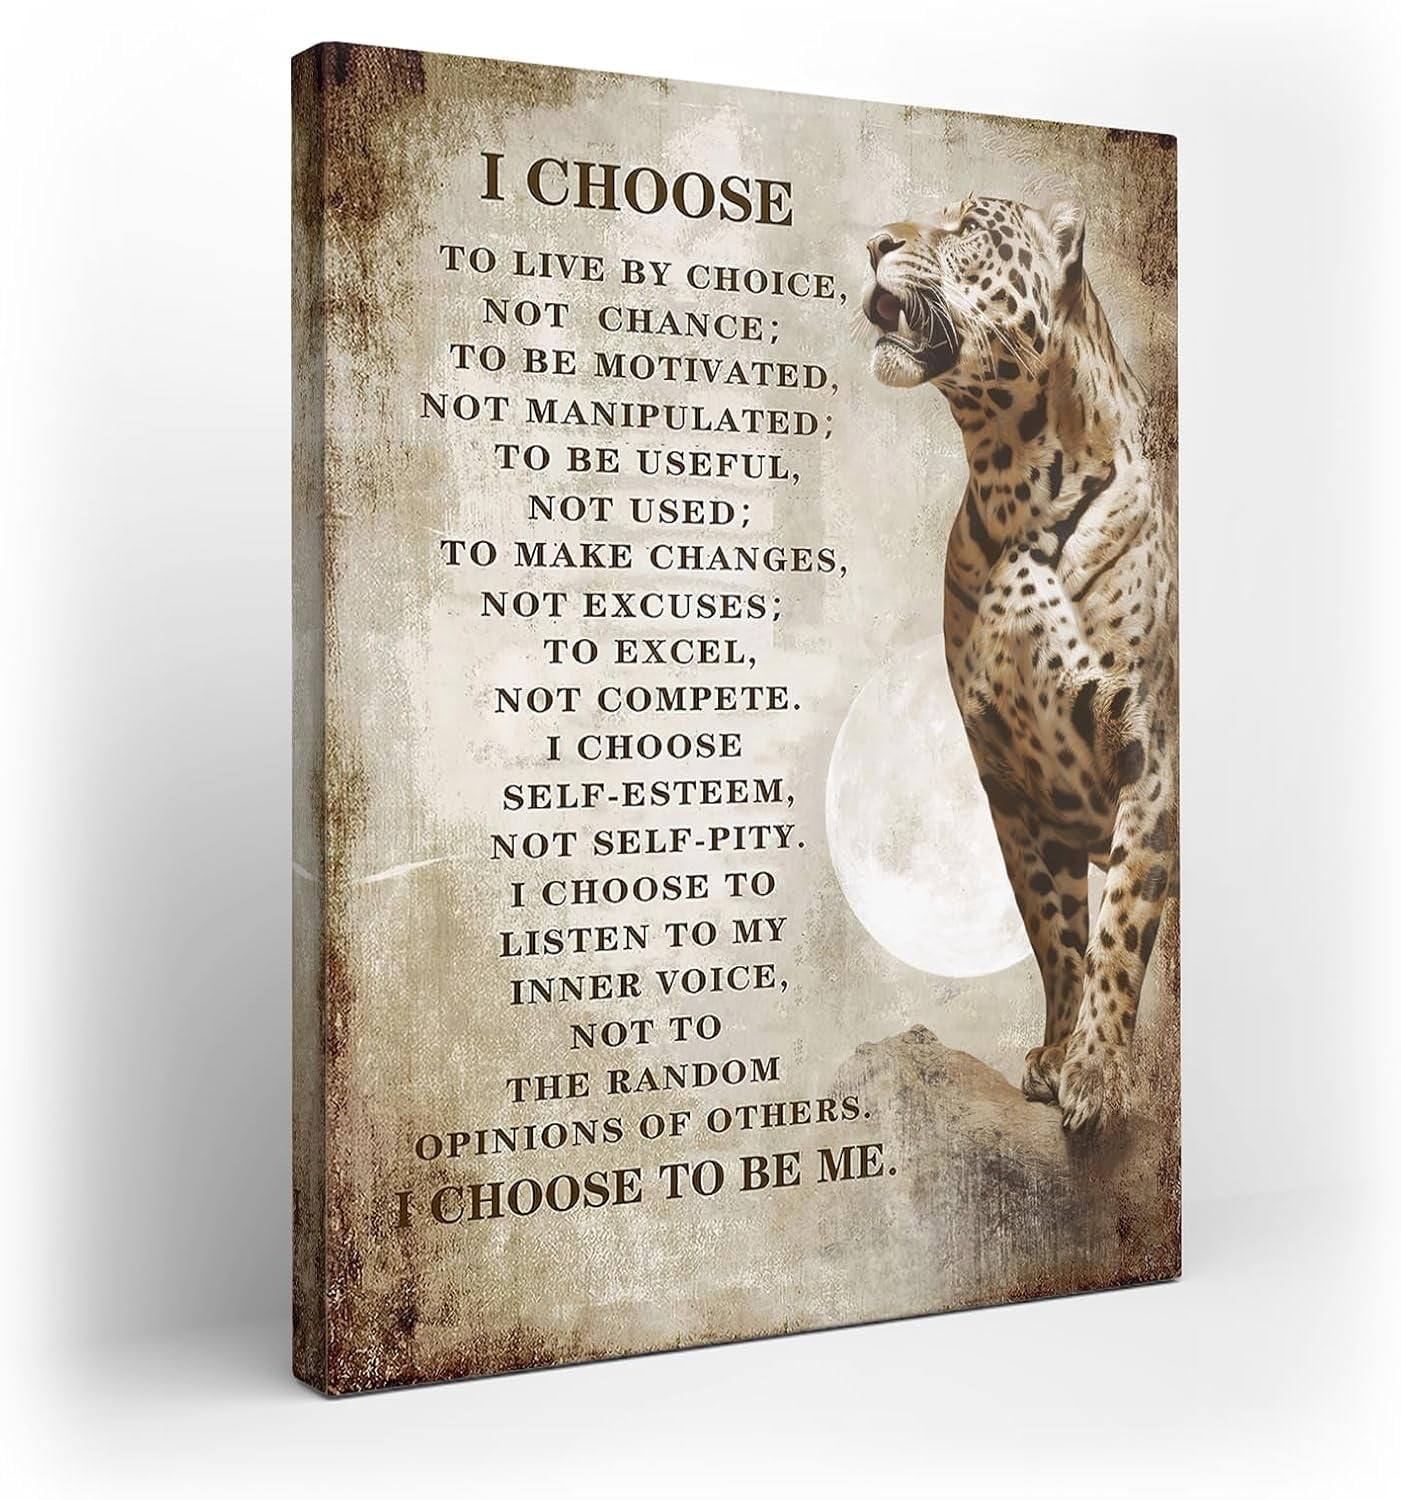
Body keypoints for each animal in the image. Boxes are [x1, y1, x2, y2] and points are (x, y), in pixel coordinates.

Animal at [860, 195, 1178, 1132]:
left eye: (965, 225)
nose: (873, 243)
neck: (1011, 484)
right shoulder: (1007, 779)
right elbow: (1053, 930)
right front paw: (1056, 1050)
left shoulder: (1148, 756)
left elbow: (1119, 929)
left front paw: (1097, 1073)